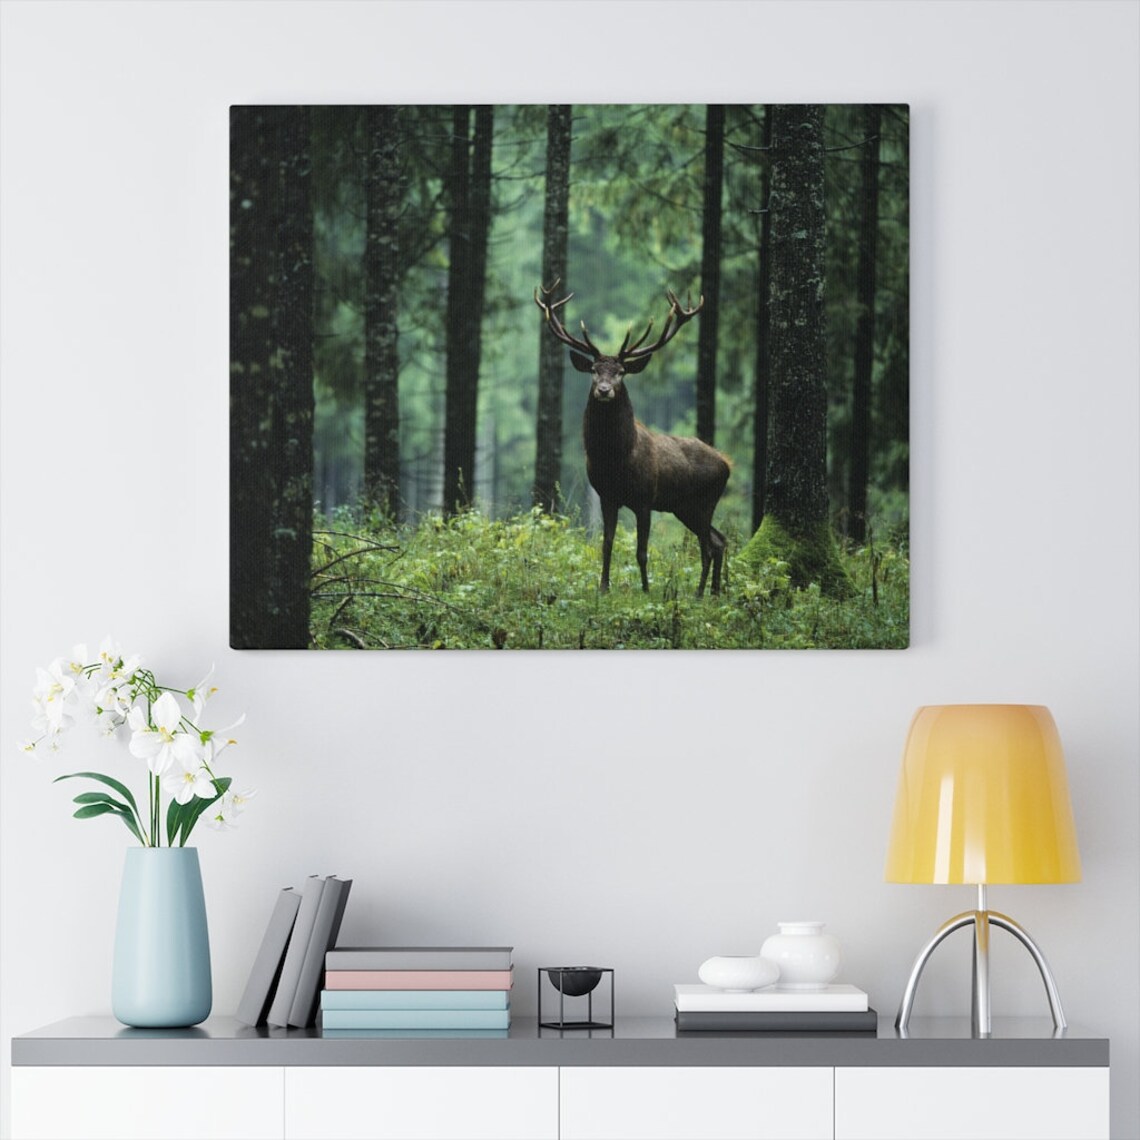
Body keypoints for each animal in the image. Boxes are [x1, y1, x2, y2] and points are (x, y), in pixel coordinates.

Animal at [535, 281, 731, 597]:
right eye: (594, 370)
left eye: (621, 372)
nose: (604, 390)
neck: (616, 459)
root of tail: (727, 464)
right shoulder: (607, 496)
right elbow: (606, 544)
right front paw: (603, 587)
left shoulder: (644, 498)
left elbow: (642, 551)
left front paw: (646, 590)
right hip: (684, 507)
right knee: (719, 540)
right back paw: (713, 592)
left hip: (705, 501)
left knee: (708, 545)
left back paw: (700, 593)